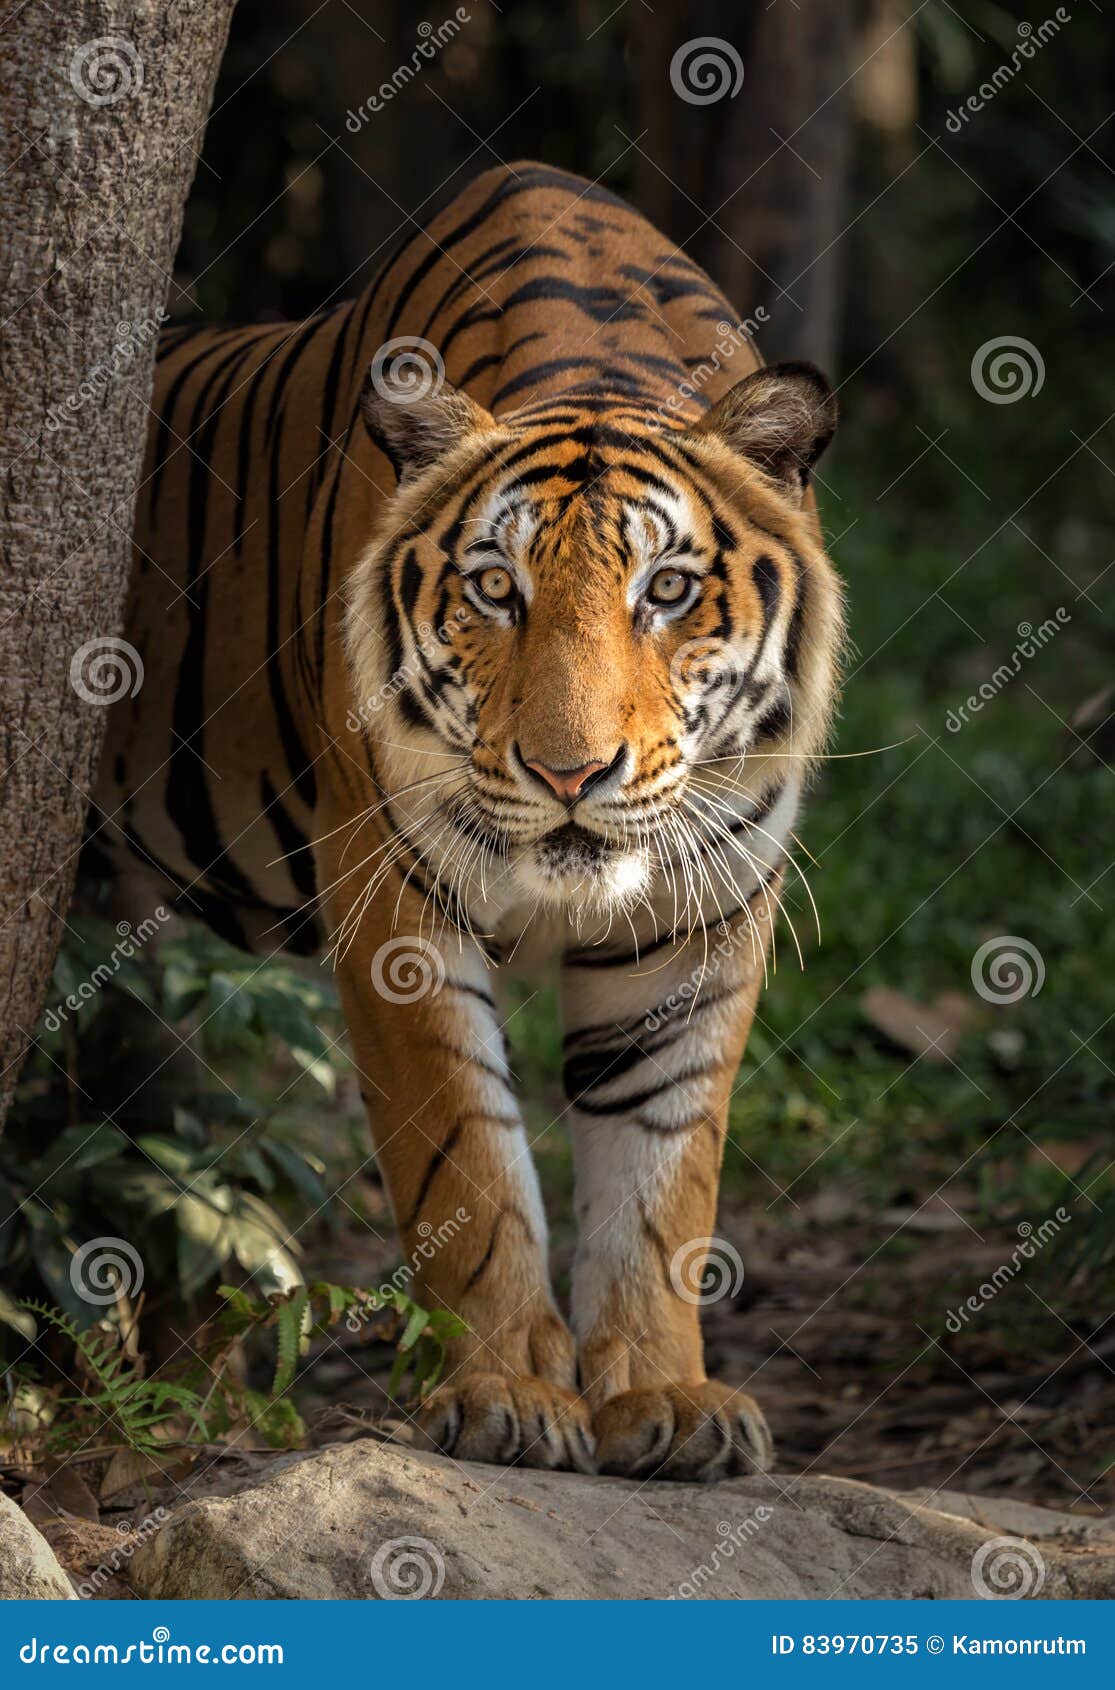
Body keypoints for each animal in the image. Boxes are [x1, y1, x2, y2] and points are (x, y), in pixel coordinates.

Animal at [95, 160, 844, 1482]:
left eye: (666, 590)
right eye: (497, 588)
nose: (568, 772)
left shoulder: (700, 922)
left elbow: (663, 1174)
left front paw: (665, 1399)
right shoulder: (392, 895)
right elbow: (469, 1162)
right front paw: (505, 1393)